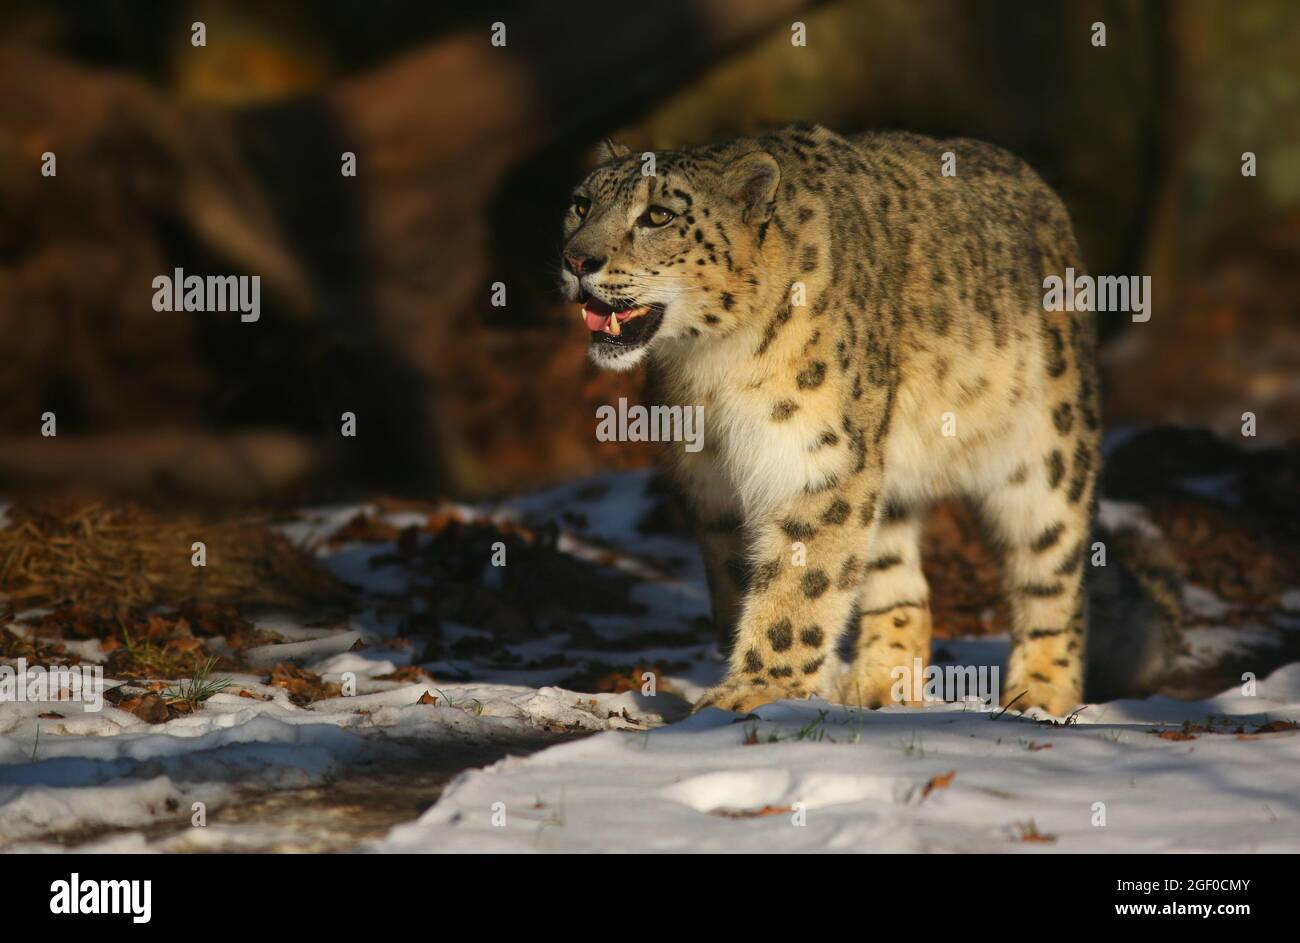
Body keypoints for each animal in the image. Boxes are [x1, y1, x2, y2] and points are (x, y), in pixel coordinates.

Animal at [559, 123, 1162, 717]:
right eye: (581, 204)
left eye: (658, 215)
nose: (576, 260)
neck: (709, 370)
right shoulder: (710, 485)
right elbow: (747, 580)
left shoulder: (818, 460)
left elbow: (800, 585)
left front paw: (755, 691)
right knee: (902, 583)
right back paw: (879, 688)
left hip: (1046, 453)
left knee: (1053, 575)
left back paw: (1039, 695)